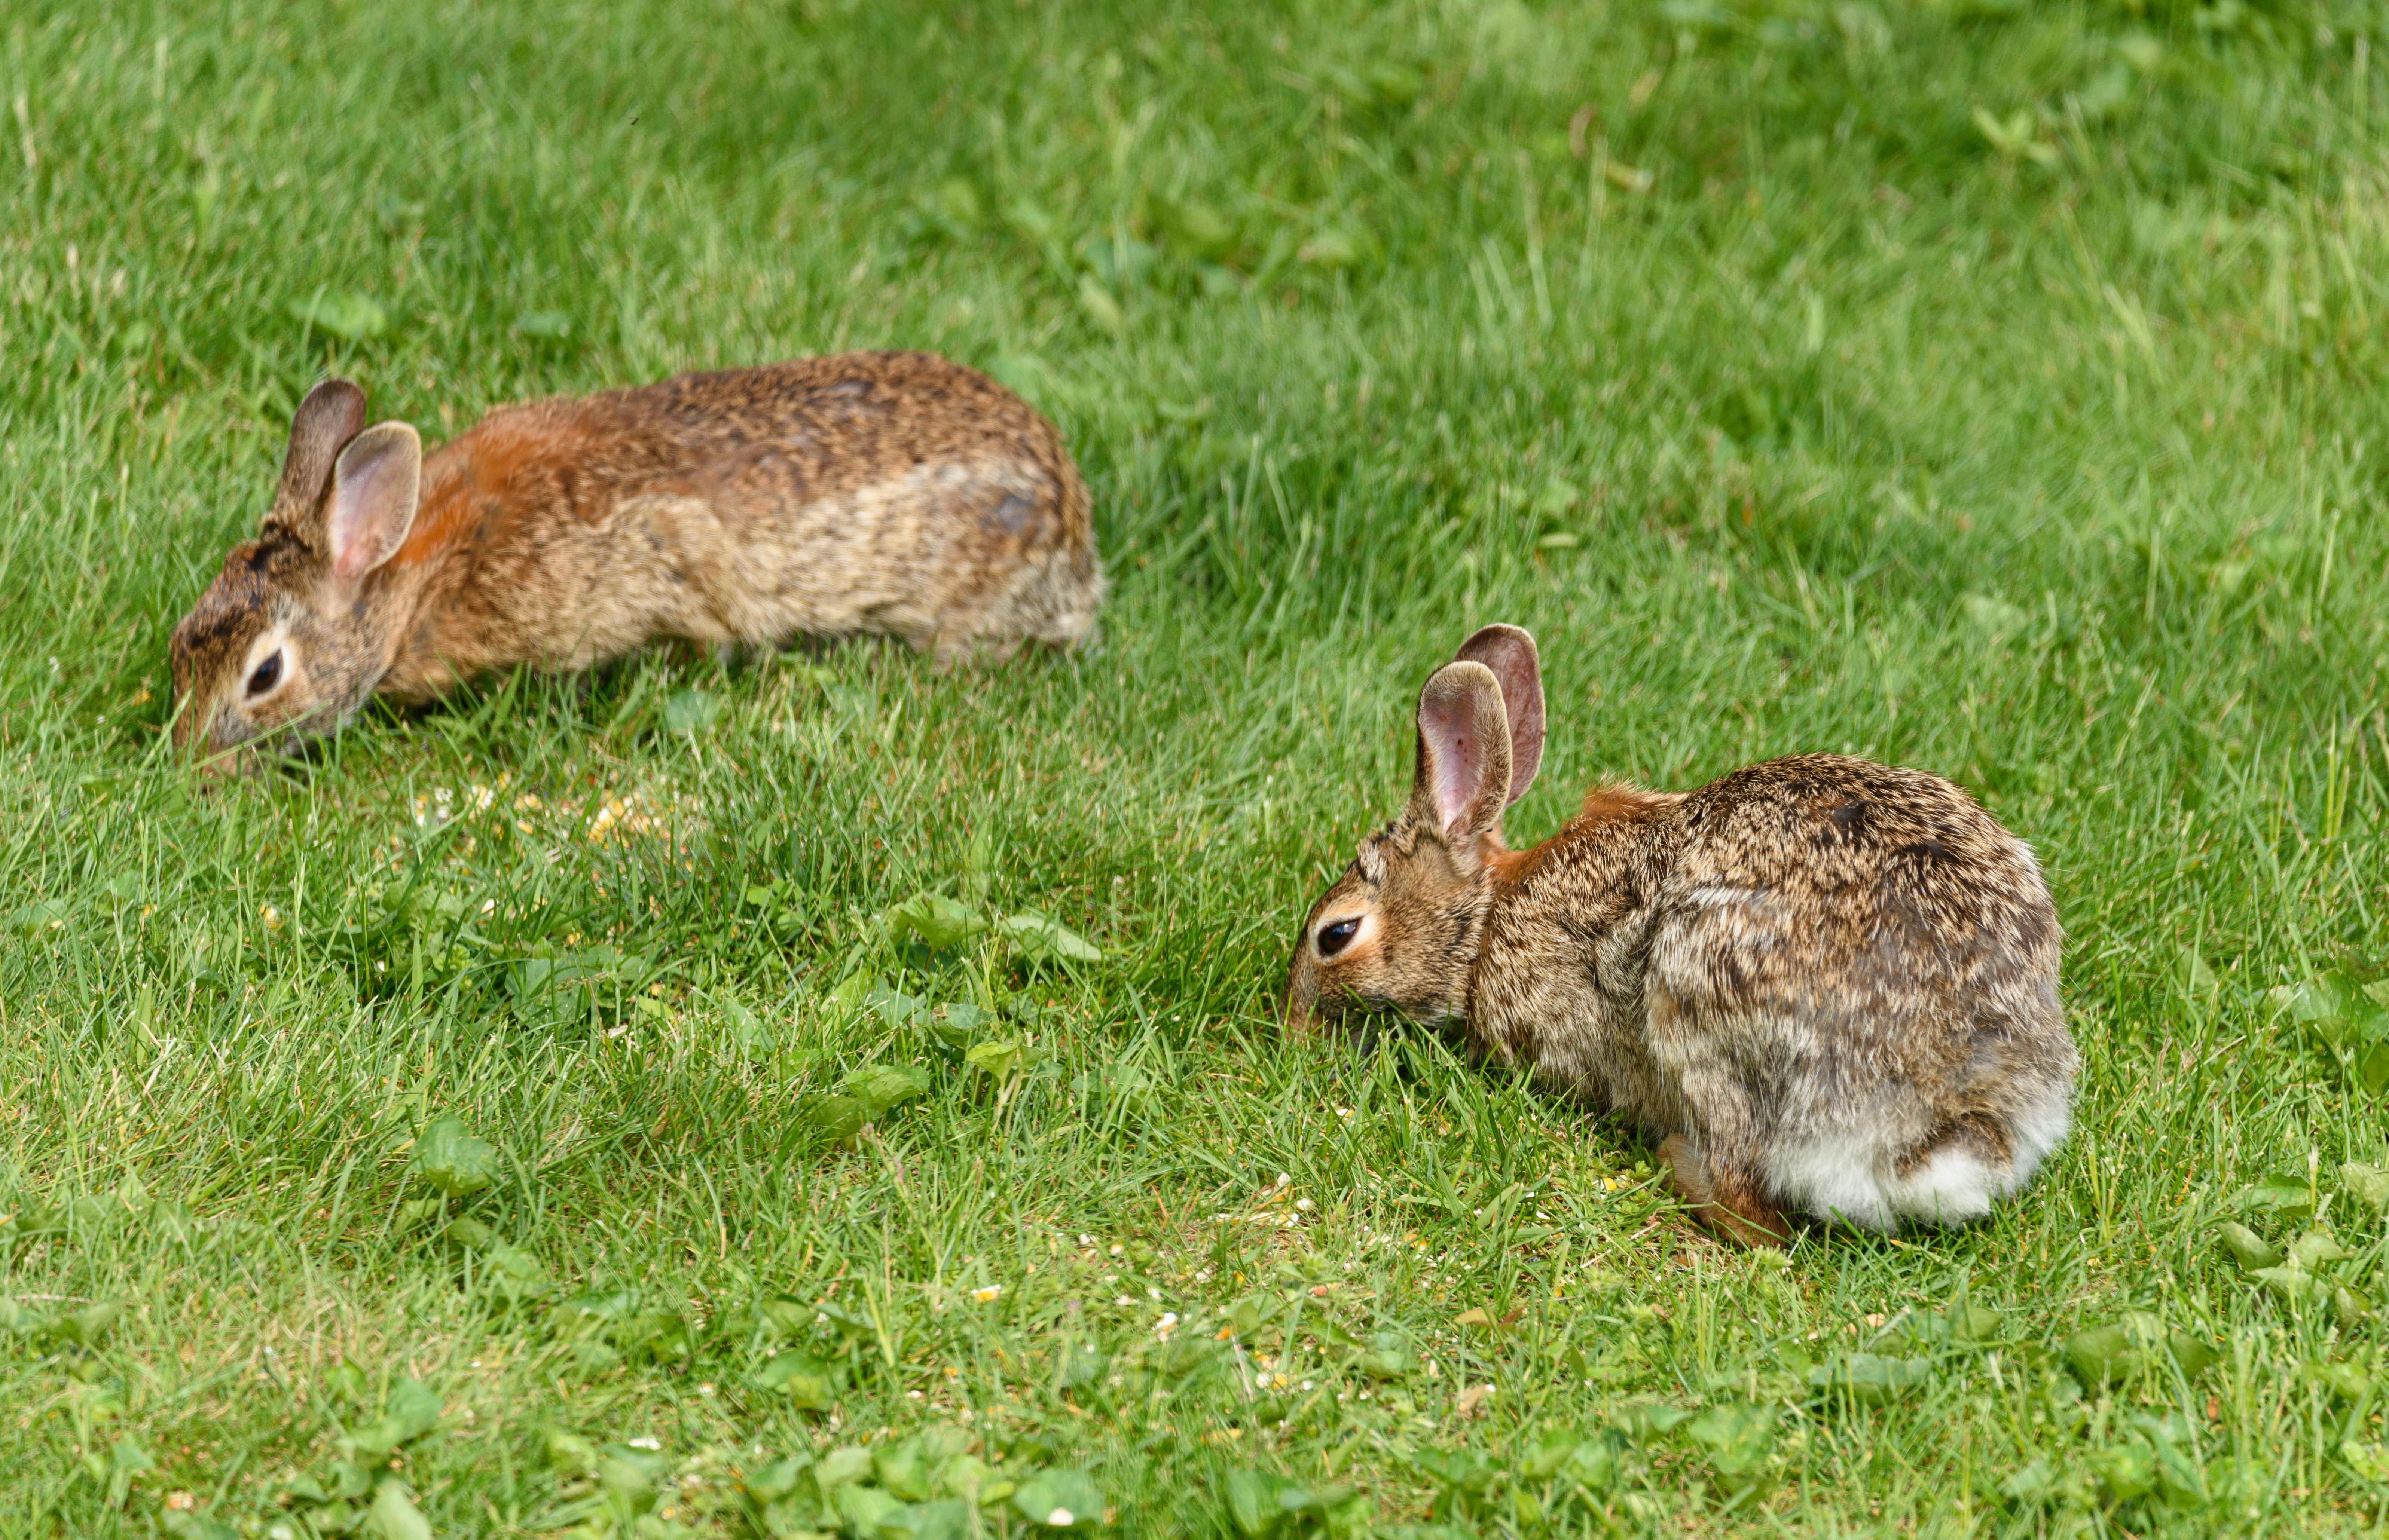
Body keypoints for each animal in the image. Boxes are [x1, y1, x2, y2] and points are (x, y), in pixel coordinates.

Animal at [1283, 624, 2075, 1245]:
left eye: (1336, 935)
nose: (1292, 1027)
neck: (1483, 923)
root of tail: (1943, 1114)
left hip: (1695, 1003)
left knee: (1750, 1207)